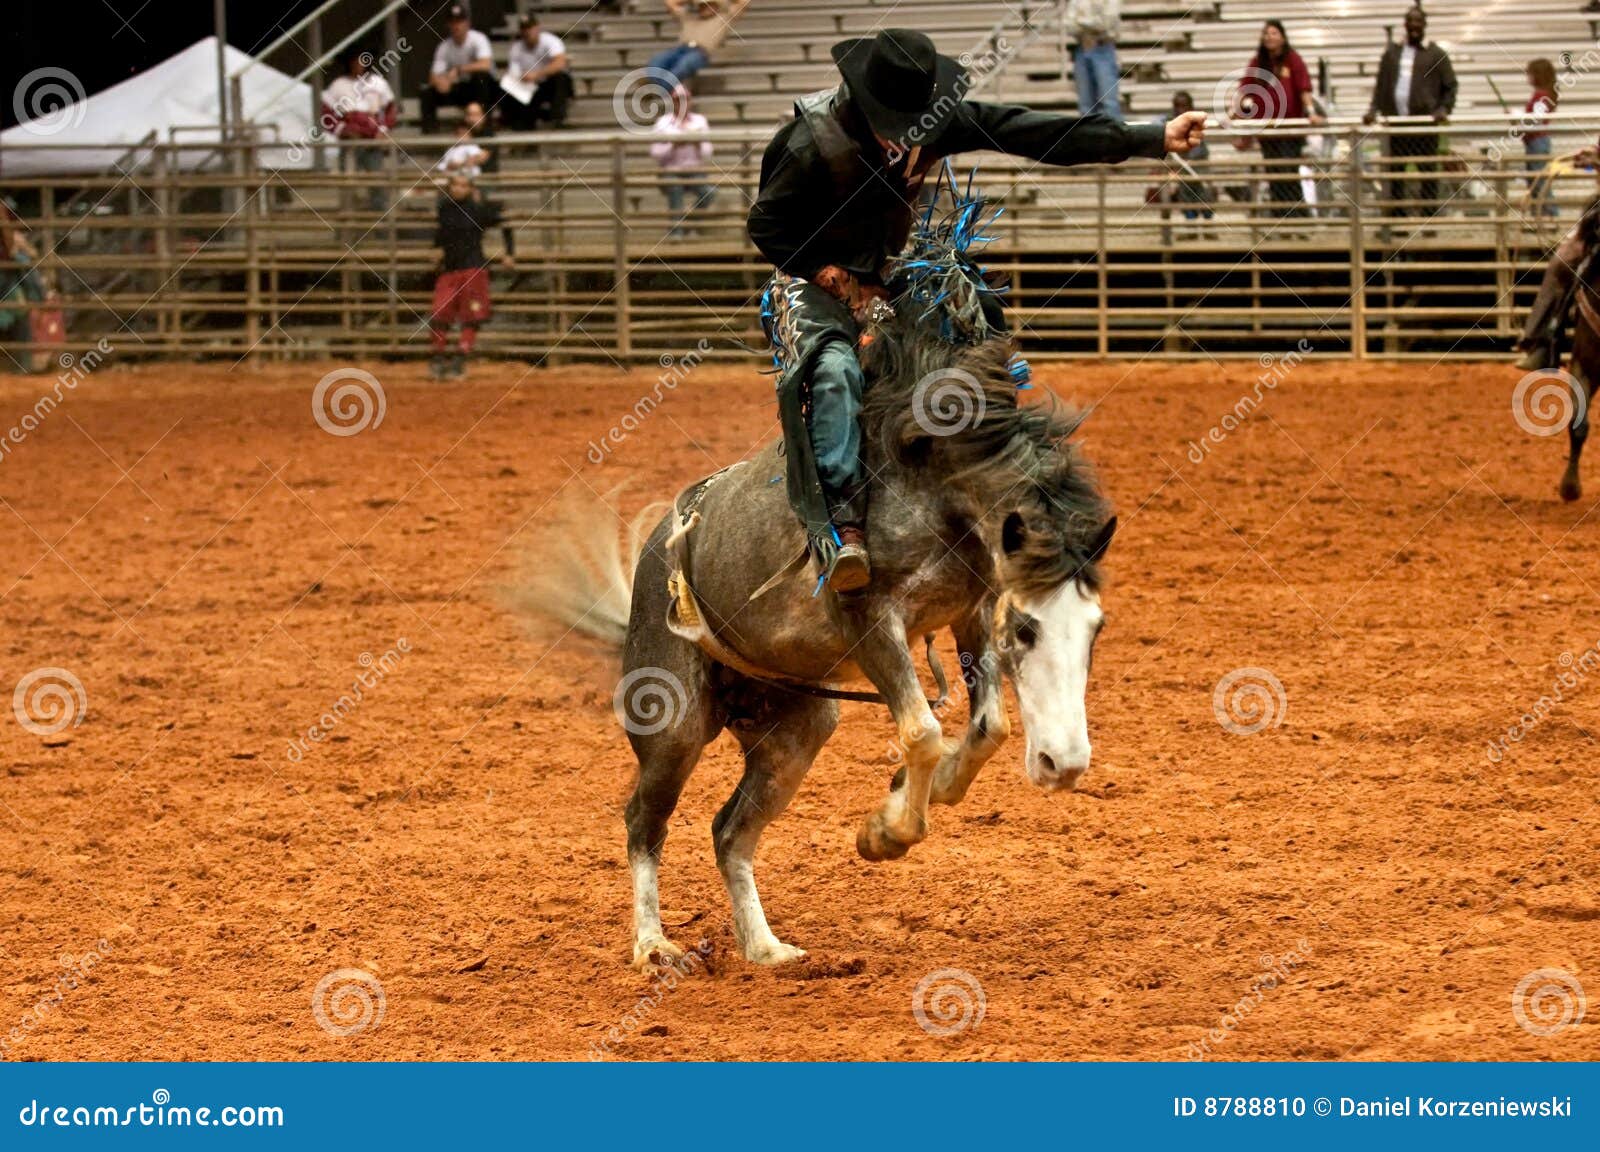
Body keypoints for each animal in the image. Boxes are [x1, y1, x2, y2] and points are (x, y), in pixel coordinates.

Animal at [530, 200, 1117, 970]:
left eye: (1096, 628)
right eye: (1027, 628)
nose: (1065, 764)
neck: (928, 470)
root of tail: (659, 553)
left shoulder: (968, 610)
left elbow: (986, 725)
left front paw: (916, 799)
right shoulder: (869, 619)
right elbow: (923, 731)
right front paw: (889, 831)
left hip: (798, 727)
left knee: (729, 830)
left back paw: (764, 946)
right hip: (673, 724)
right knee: (643, 823)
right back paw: (655, 944)